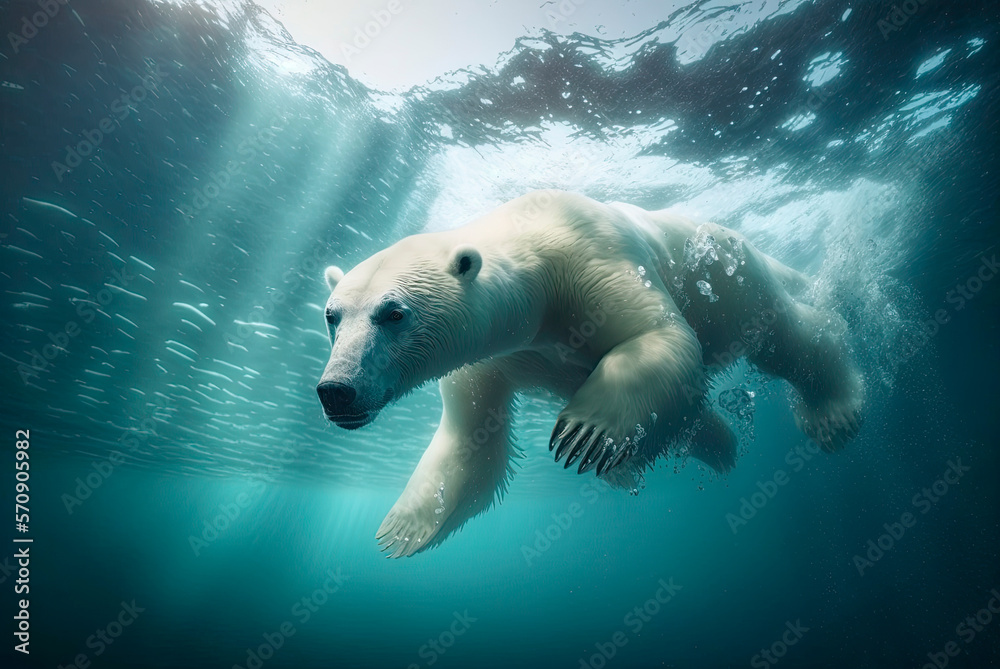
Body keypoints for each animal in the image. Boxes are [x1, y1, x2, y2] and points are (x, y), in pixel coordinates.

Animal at [317, 190, 864, 558]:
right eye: (332, 316)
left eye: (393, 313)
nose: (336, 391)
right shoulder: (492, 357)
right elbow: (470, 438)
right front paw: (404, 527)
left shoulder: (592, 258)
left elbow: (657, 334)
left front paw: (585, 434)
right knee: (690, 412)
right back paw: (716, 448)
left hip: (731, 281)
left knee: (790, 337)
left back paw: (831, 413)